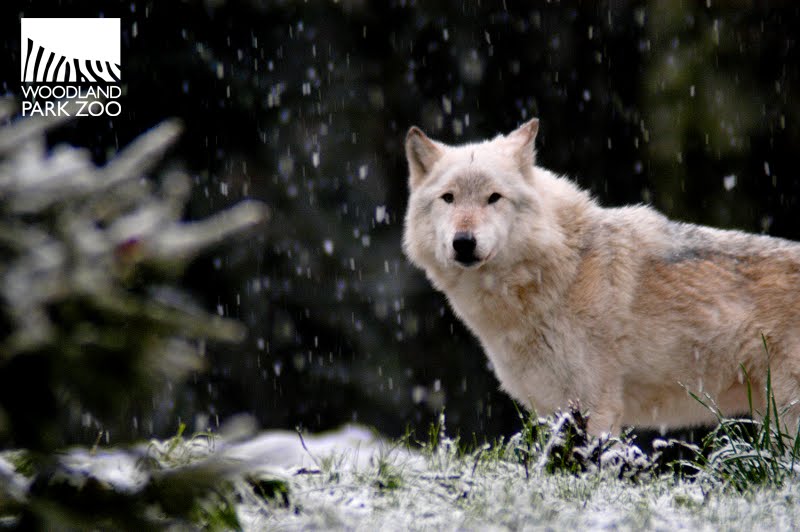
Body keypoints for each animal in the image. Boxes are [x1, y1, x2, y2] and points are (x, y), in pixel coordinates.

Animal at [402, 118, 800, 436]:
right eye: (449, 198)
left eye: (493, 198)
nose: (463, 242)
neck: (562, 270)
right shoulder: (552, 408)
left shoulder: (596, 405)